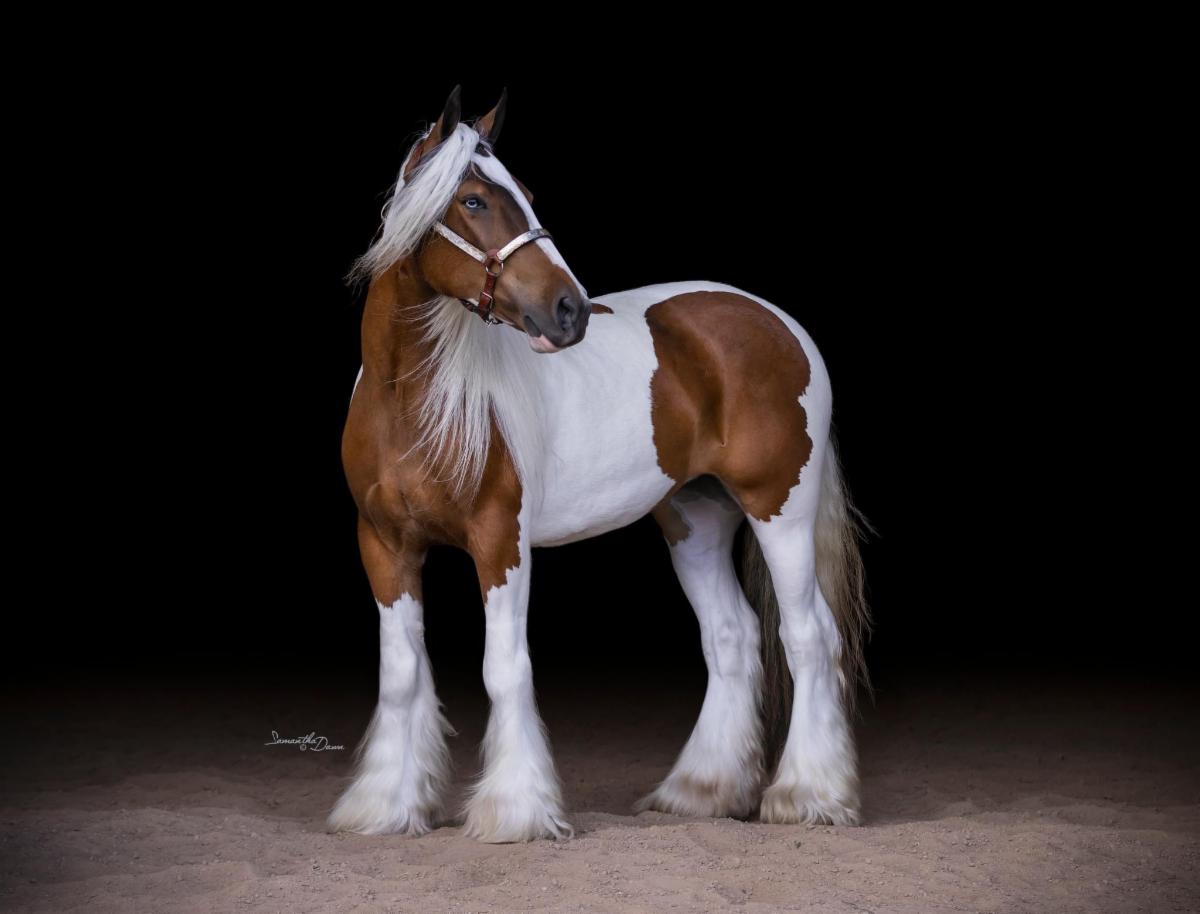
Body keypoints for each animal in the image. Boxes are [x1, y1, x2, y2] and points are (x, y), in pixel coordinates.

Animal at [331, 86, 872, 843]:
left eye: (525, 194)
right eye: (473, 200)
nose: (570, 311)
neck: (412, 401)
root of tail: (781, 324)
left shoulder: (500, 541)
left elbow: (504, 668)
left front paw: (515, 811)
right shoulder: (384, 544)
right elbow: (403, 673)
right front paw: (385, 807)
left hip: (780, 510)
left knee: (808, 637)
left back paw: (808, 796)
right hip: (695, 518)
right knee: (730, 638)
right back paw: (699, 792)